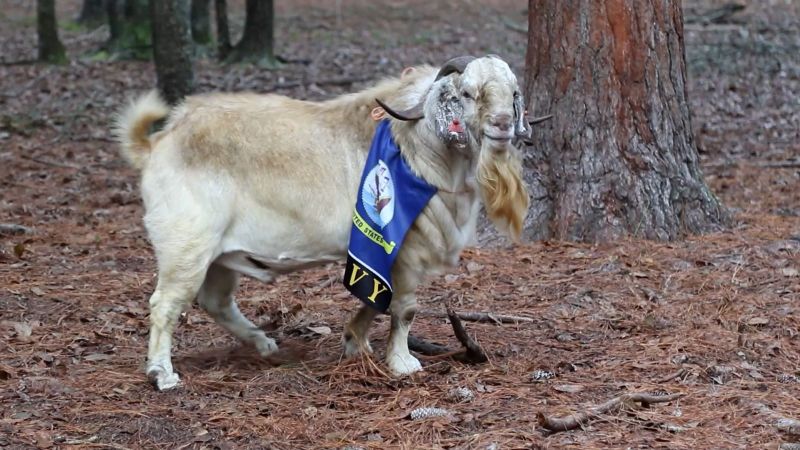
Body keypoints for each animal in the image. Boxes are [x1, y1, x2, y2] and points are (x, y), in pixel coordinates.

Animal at [116, 55, 530, 391]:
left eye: (512, 92)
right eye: (467, 93)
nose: (502, 124)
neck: (416, 142)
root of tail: (158, 142)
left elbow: (376, 297)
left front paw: (354, 342)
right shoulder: (406, 251)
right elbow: (403, 308)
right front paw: (402, 363)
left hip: (220, 255)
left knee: (216, 301)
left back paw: (263, 343)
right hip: (188, 245)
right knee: (166, 304)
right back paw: (162, 374)